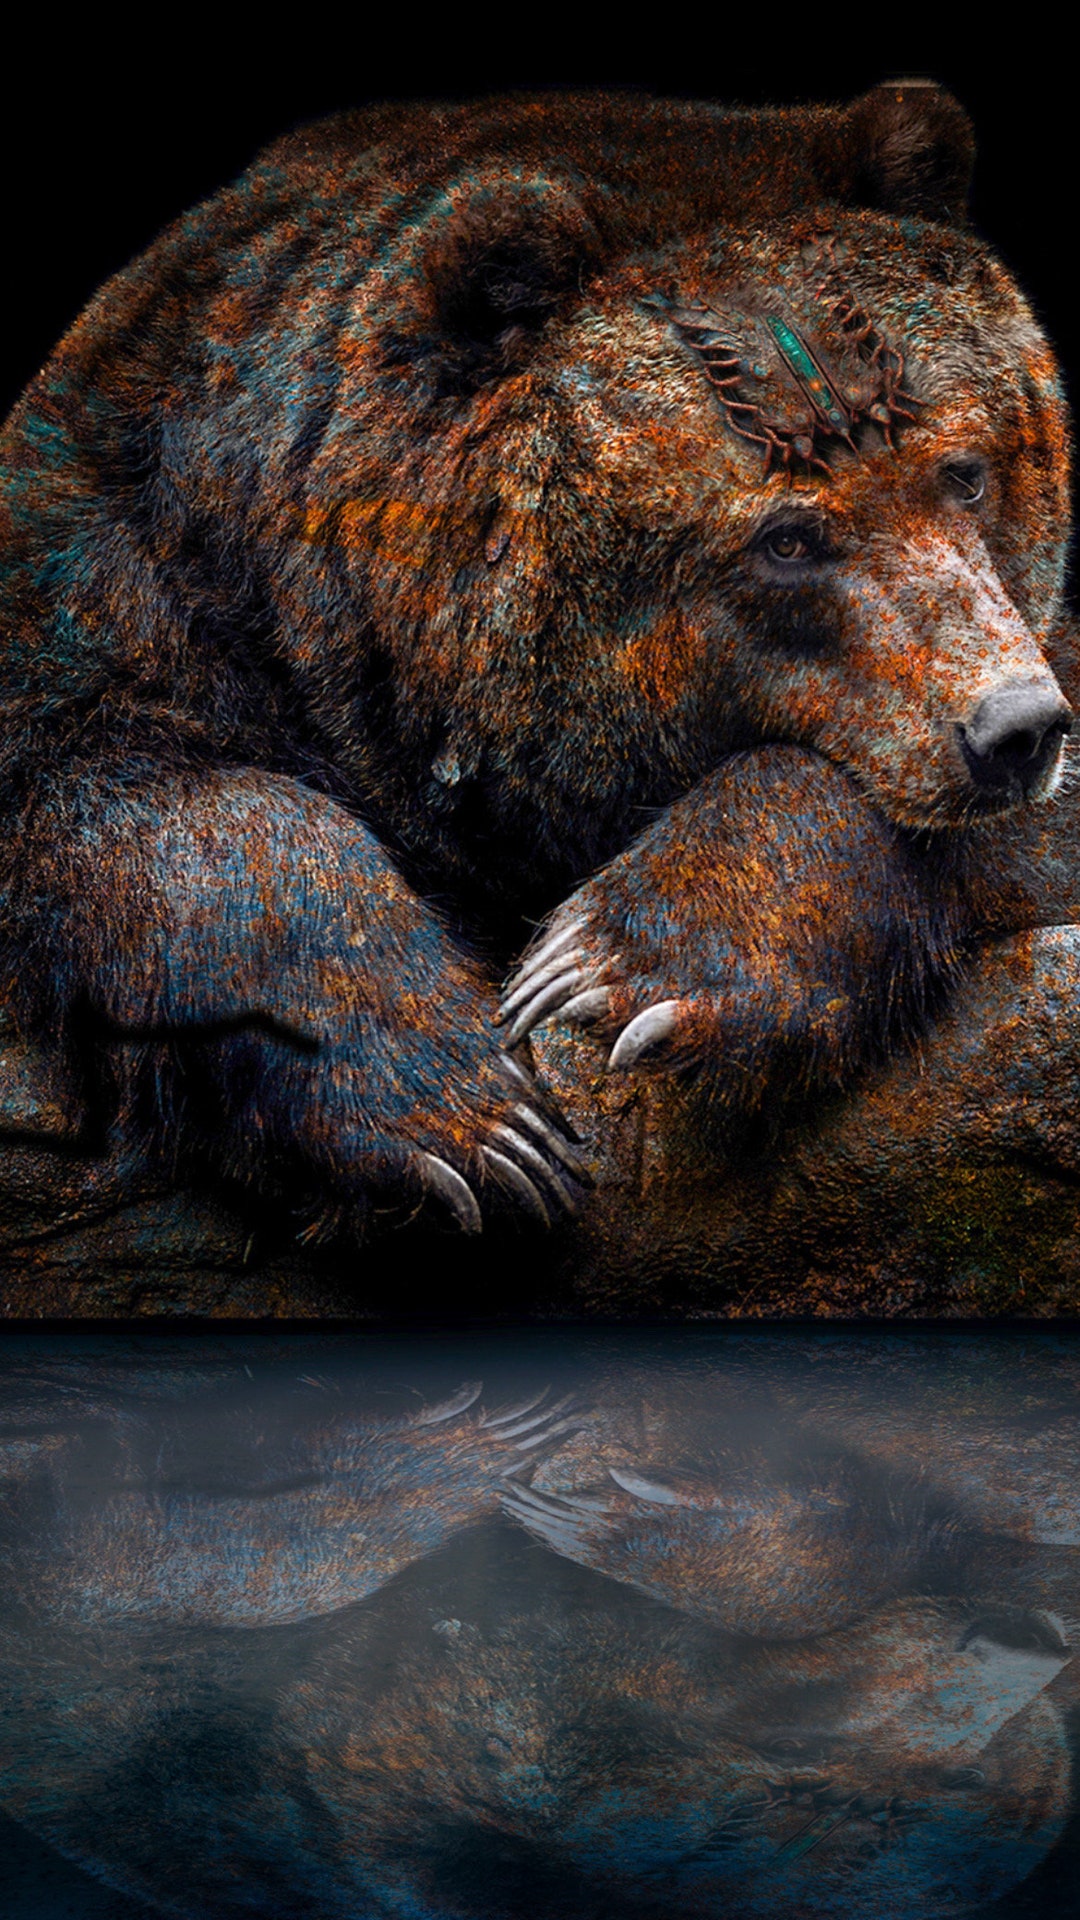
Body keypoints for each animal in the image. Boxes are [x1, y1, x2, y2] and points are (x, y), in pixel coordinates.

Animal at [0, 80, 1073, 1249]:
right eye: (785, 536)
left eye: (964, 470)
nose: (1014, 729)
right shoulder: (114, 577)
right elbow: (159, 809)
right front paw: (468, 1121)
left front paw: (620, 969)